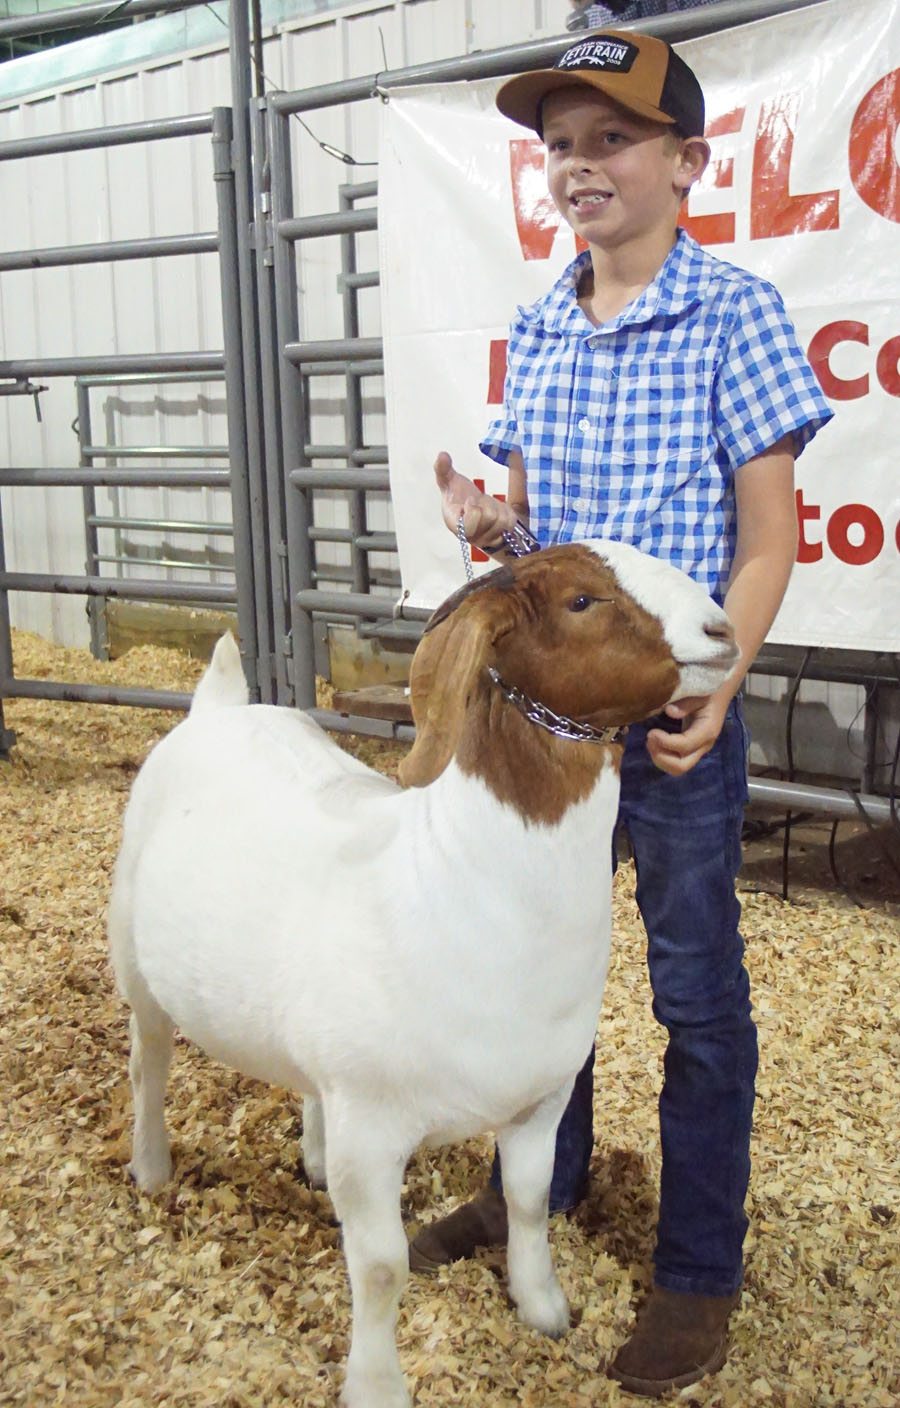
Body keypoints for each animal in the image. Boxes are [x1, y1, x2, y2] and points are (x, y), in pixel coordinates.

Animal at [108, 539, 739, 1408]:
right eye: (581, 601)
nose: (723, 629)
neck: (447, 873)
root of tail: (221, 709)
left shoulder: (539, 1102)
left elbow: (529, 1204)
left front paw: (543, 1308)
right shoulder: (374, 1133)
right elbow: (381, 1270)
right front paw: (376, 1384)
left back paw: (309, 1162)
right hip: (136, 967)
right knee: (147, 1065)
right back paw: (151, 1168)